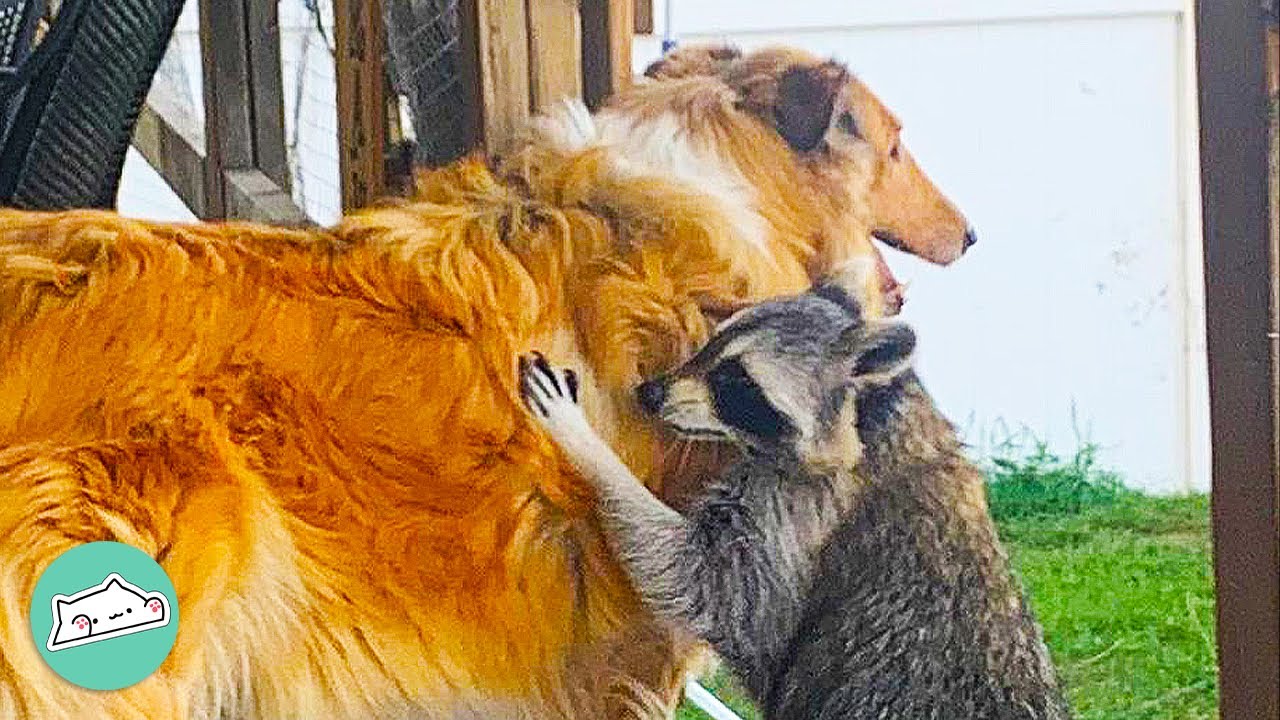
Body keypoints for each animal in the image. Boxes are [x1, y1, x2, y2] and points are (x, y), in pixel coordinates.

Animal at [519, 265, 1069, 719]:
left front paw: (588, 448)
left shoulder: (802, 506)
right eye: (712, 346)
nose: (650, 394)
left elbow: (714, 589)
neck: (872, 413)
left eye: (736, 381)